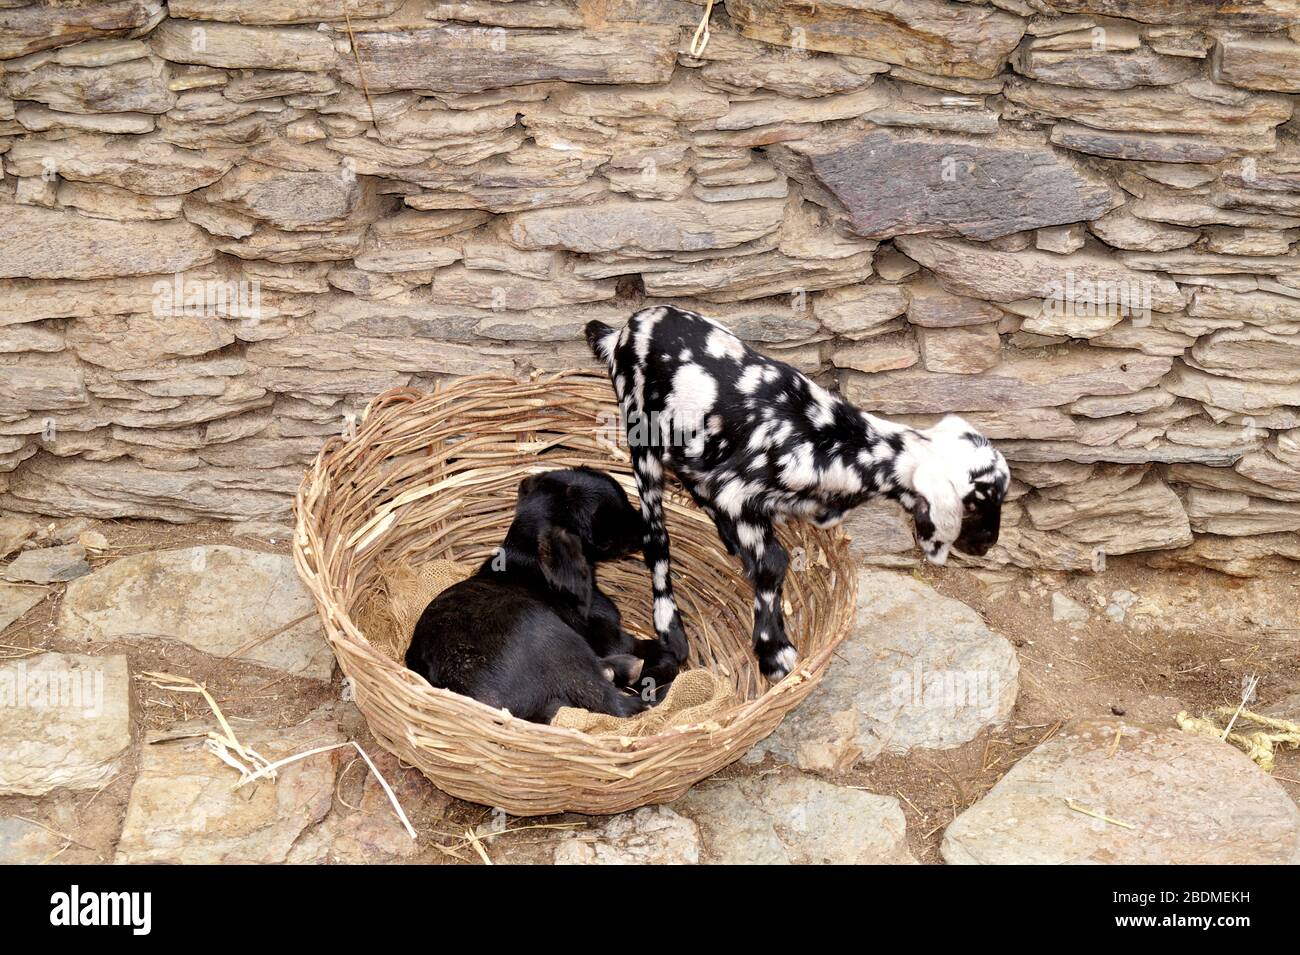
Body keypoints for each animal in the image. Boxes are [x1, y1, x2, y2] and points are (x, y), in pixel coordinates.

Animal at [405, 467, 657, 722]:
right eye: (619, 516)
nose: (652, 527)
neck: (527, 557)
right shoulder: (612, 636)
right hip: (555, 636)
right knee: (612, 699)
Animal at [586, 305, 1010, 685]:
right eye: (978, 502)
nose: (986, 547)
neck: (831, 440)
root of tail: (623, 330)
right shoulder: (738, 493)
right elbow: (774, 562)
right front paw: (774, 652)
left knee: (693, 481)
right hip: (641, 439)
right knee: (656, 535)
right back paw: (670, 624)